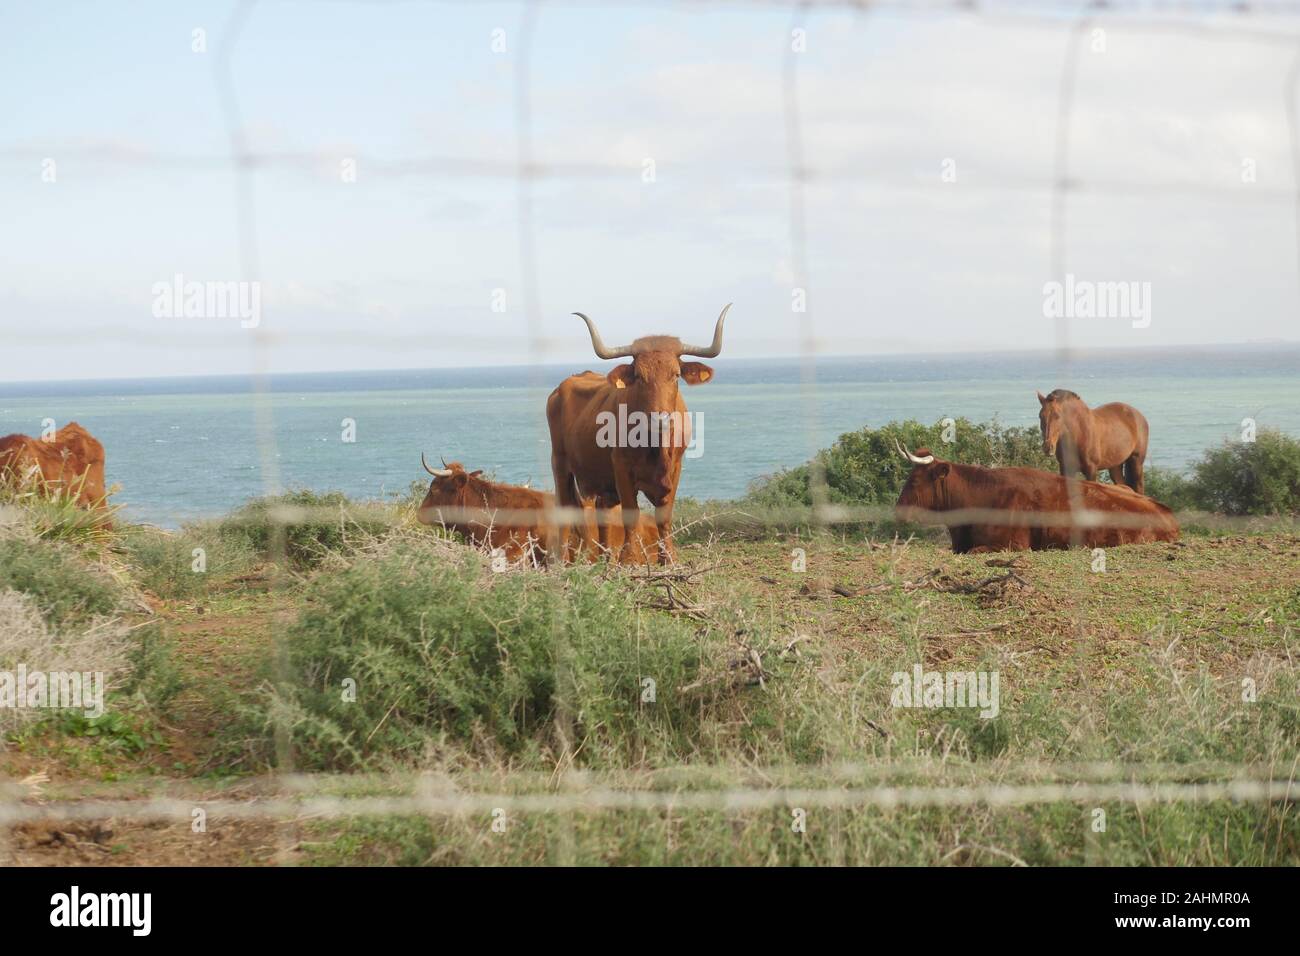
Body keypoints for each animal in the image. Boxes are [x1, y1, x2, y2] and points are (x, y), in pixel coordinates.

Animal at [547, 305, 728, 564]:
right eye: (640, 376)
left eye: (675, 375)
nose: (660, 419)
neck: (656, 445)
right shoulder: (621, 467)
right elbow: (631, 513)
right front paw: (629, 559)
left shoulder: (676, 467)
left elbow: (664, 514)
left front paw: (668, 557)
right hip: (560, 464)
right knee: (565, 509)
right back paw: (562, 561)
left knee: (600, 510)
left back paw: (604, 558)